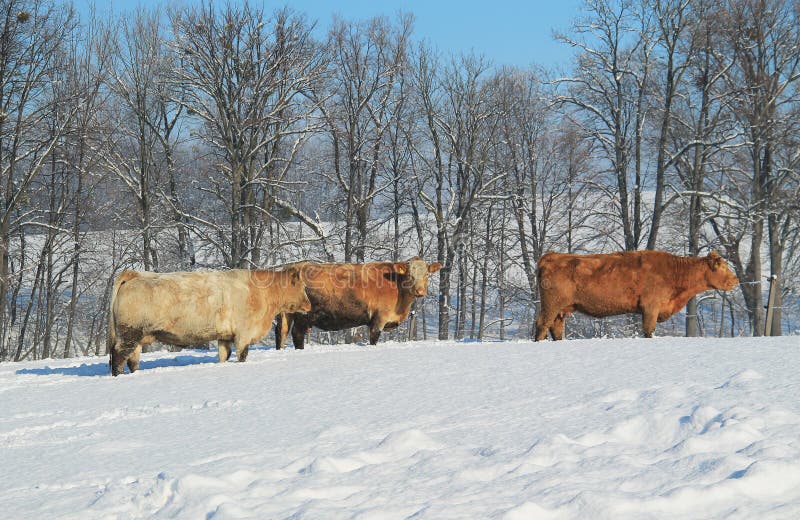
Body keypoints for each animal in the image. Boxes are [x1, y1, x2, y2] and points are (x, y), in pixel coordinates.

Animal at [108, 267, 311, 376]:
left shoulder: (225, 336)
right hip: (129, 332)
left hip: (136, 336)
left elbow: (223, 356)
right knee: (118, 355)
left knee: (132, 359)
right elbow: (242, 356)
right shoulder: (243, 334)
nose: (309, 305)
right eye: (301, 286)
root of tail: (135, 274)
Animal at [275, 257, 442, 349]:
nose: (420, 291)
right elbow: (373, 339)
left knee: (281, 332)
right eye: (409, 275)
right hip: (303, 315)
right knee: (296, 334)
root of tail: (293, 266)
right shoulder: (379, 318)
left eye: (427, 274)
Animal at [535, 250, 739, 341]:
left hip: (561, 310)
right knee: (542, 324)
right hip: (551, 305)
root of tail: (552, 256)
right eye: (722, 266)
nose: (736, 279)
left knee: (556, 329)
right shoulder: (650, 307)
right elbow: (649, 331)